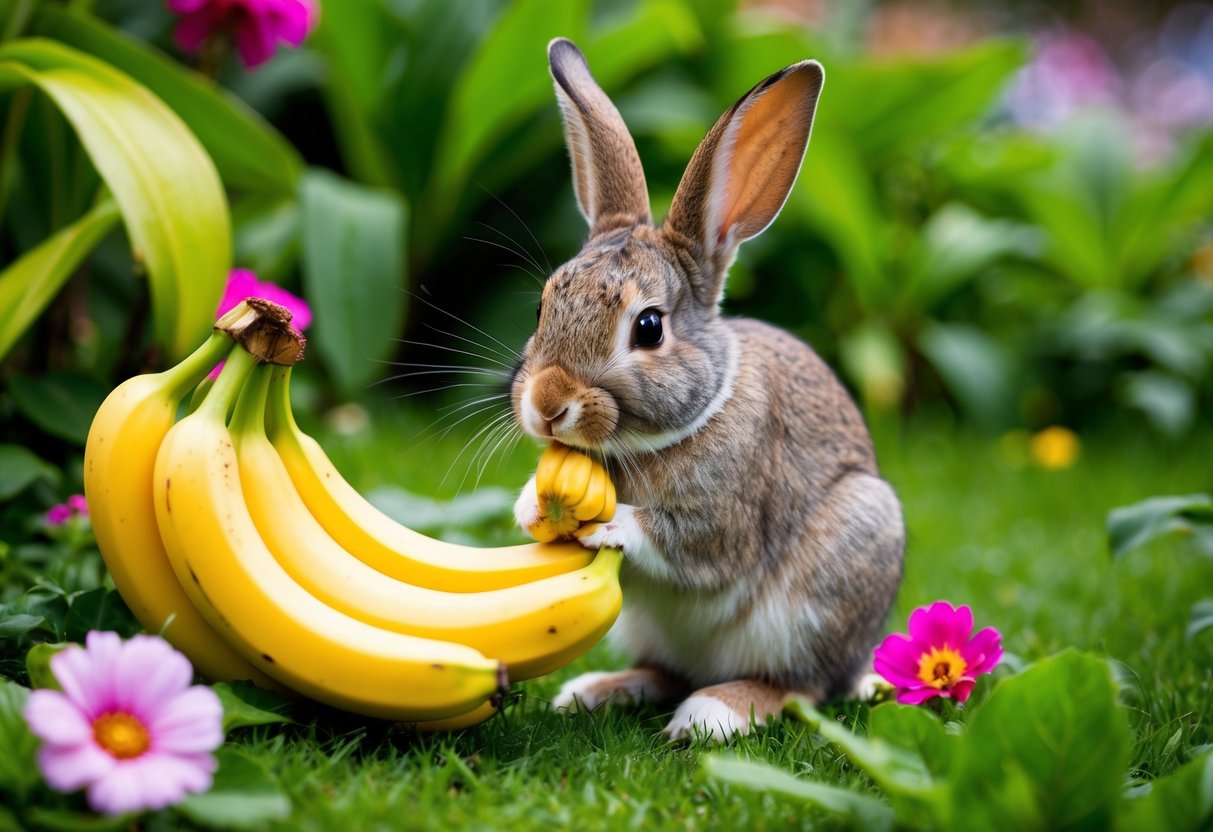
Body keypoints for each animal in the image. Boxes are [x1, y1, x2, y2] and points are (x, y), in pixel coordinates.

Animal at [511, 38, 905, 741]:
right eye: (541, 308)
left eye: (648, 328)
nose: (548, 404)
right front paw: (532, 505)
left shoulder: (724, 520)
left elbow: (684, 540)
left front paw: (610, 523)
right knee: (666, 671)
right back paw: (595, 691)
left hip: (836, 571)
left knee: (799, 689)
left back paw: (712, 713)